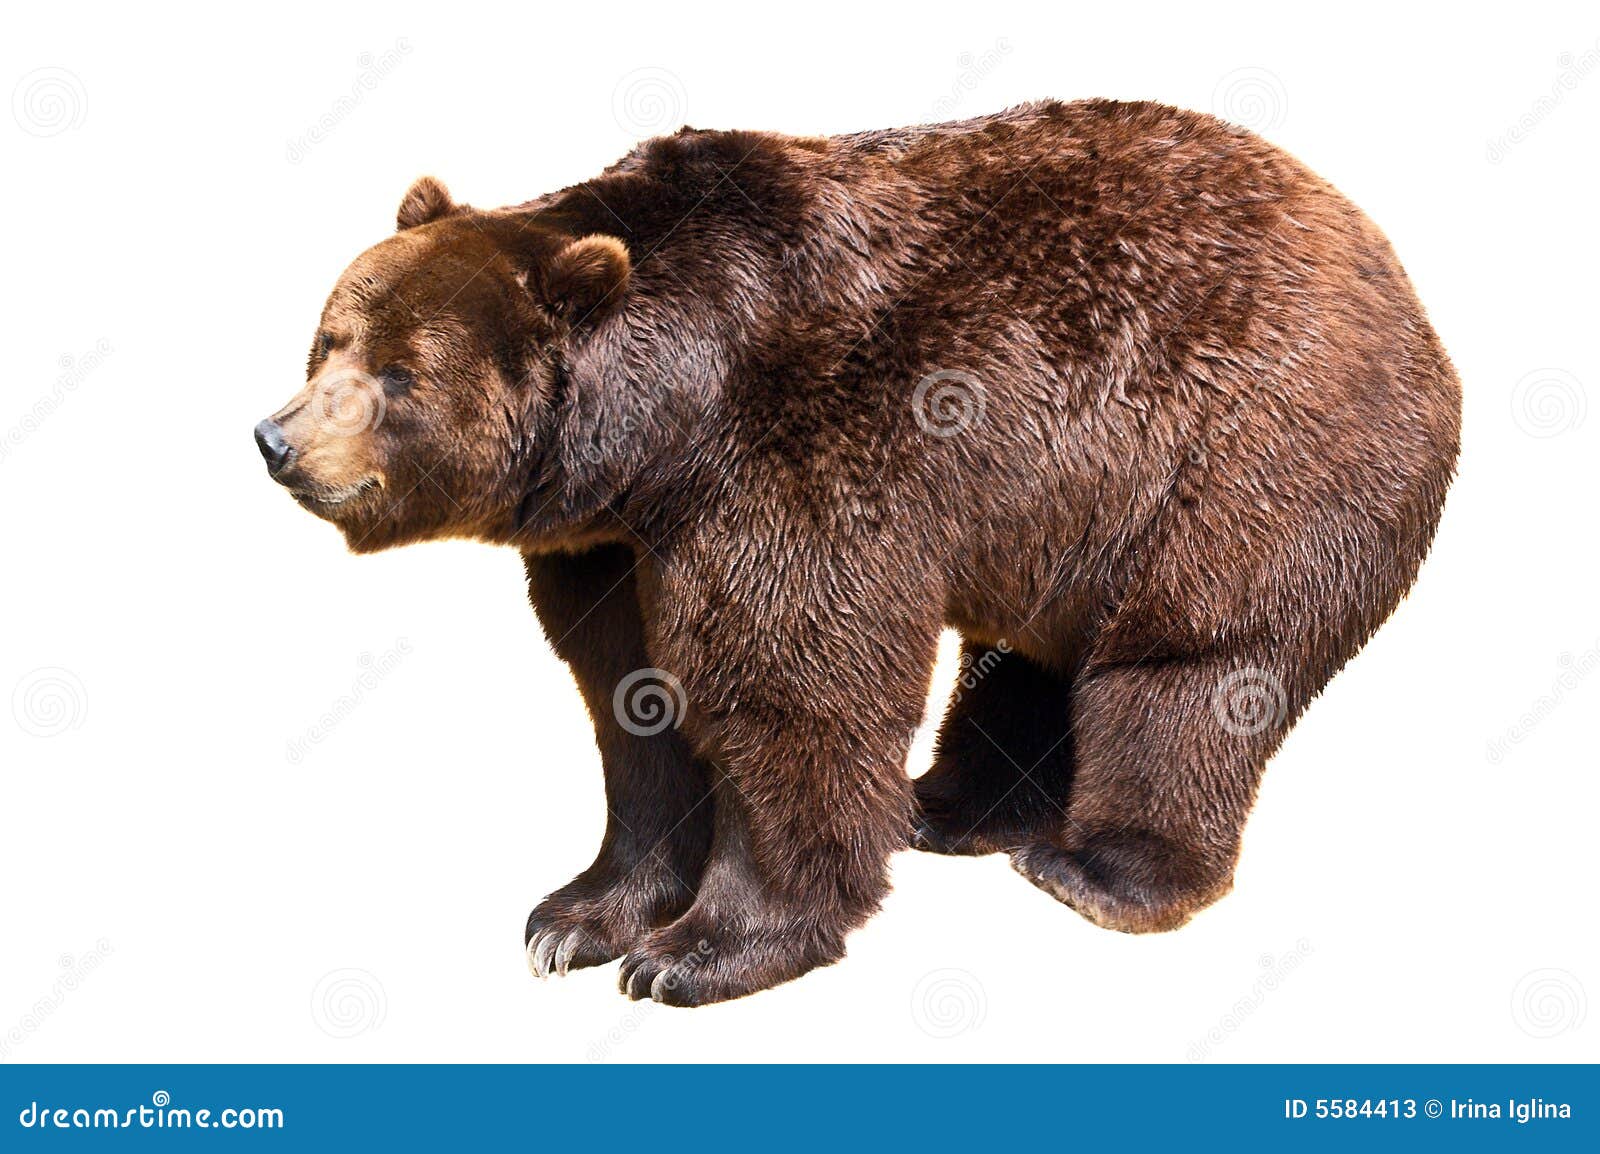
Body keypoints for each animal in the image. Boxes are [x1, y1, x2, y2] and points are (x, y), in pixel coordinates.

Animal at [254, 99, 1460, 1005]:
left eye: (399, 374)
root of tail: (1388, 267)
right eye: (329, 340)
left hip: (1235, 457)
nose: (277, 438)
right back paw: (951, 807)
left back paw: (1096, 868)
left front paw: (698, 950)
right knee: (1030, 657)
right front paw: (574, 917)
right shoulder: (611, 545)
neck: (662, 427)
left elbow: (789, 687)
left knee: (1187, 670)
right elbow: (632, 700)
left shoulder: (793, 465)